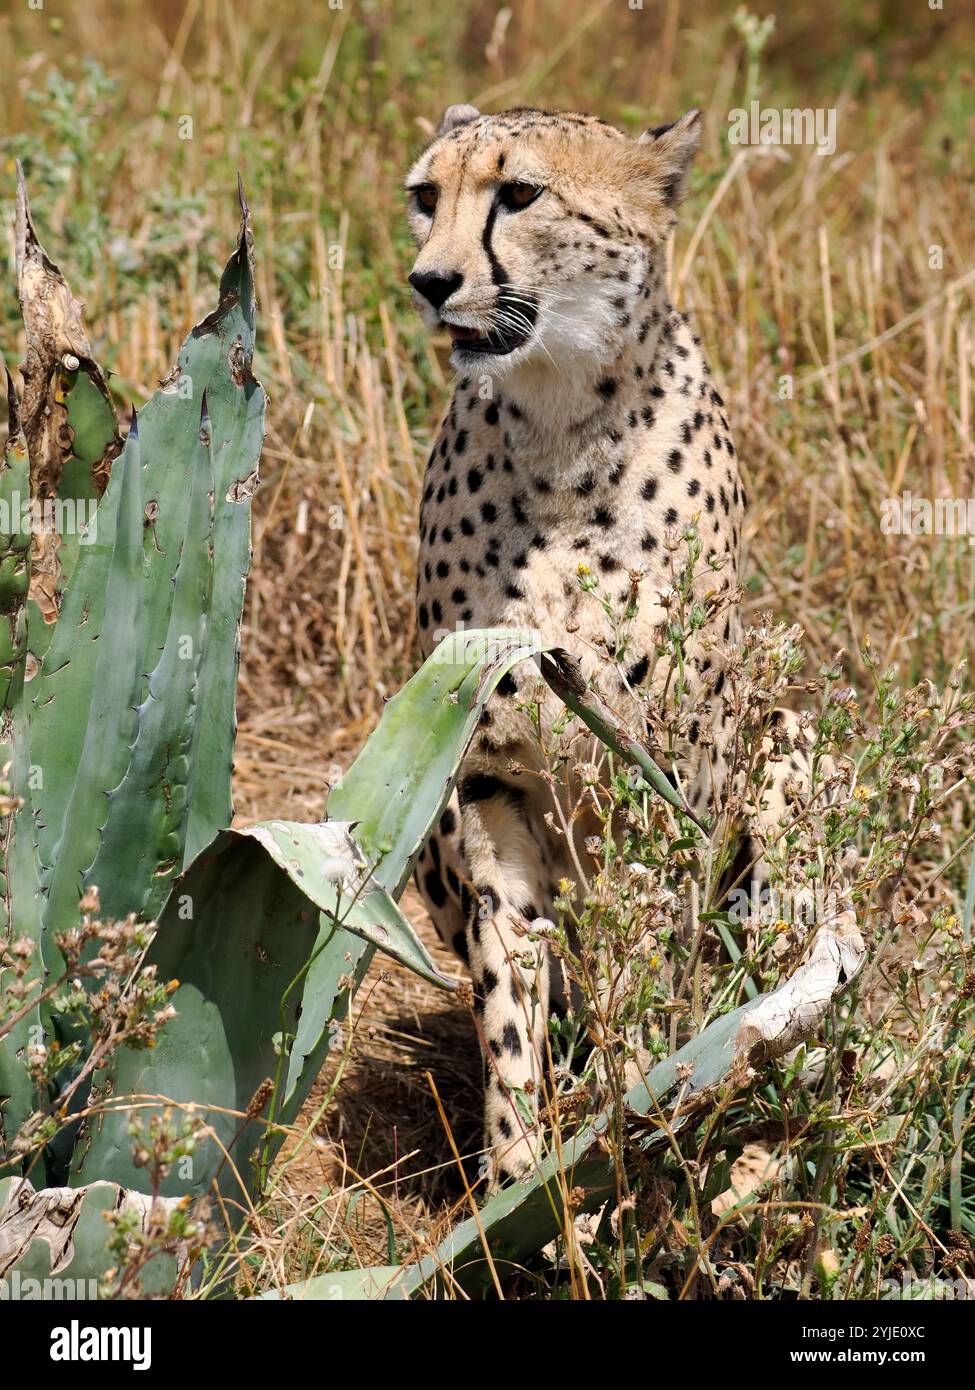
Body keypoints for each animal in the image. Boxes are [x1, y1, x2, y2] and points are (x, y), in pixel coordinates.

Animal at [404, 103, 811, 1186]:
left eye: (520, 194)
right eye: (426, 195)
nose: (429, 280)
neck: (558, 425)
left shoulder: (663, 784)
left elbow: (649, 968)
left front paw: (627, 1129)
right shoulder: (485, 781)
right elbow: (509, 991)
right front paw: (519, 1175)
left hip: (787, 747)